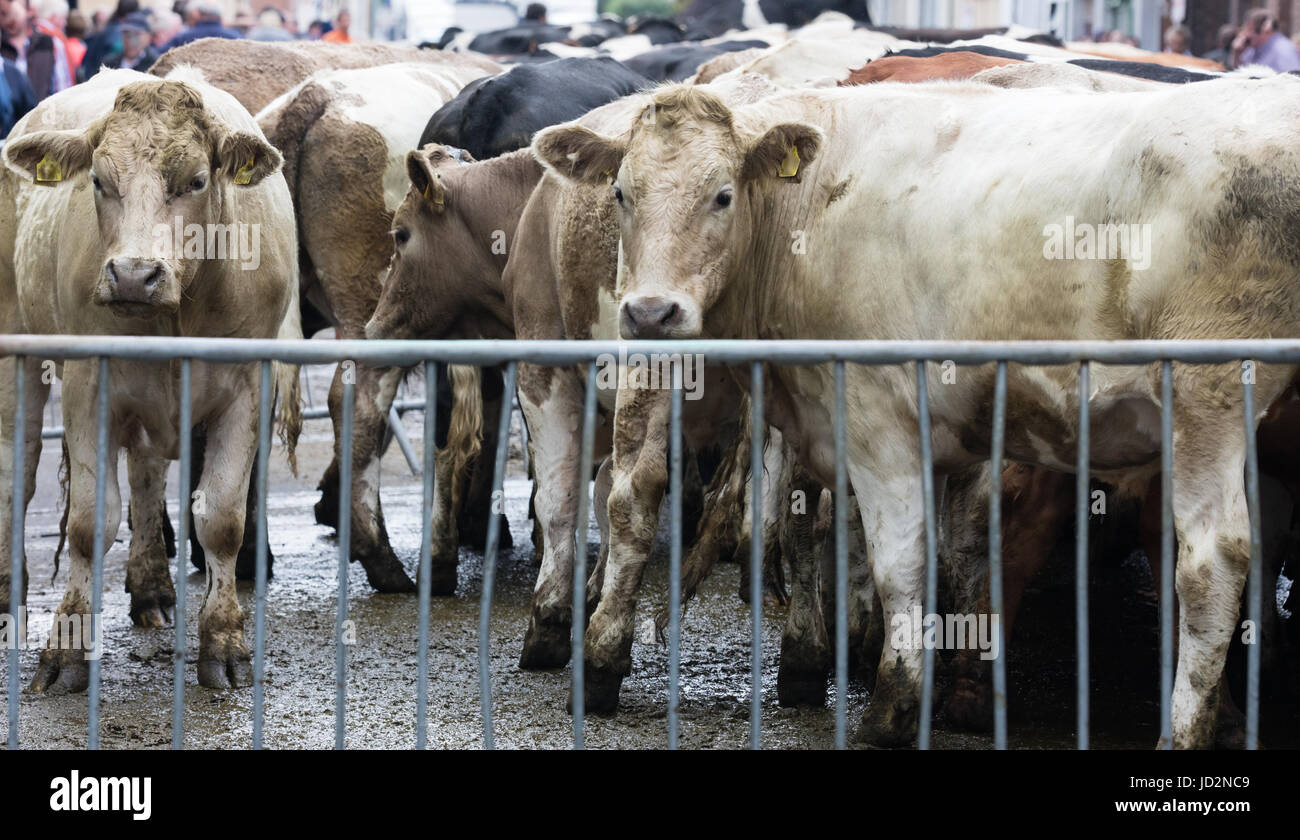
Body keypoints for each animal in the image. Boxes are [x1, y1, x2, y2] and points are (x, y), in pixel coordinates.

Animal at [0, 68, 300, 690]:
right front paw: (67, 648)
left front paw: (224, 641)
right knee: (15, 470)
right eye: (97, 179)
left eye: (197, 180)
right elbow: (90, 521)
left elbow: (222, 520)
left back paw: (152, 587)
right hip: (18, 352)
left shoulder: (245, 388)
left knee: (143, 474)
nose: (134, 276)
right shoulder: (89, 382)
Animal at [532, 76, 1300, 748]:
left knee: (1212, 563)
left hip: (1208, 399)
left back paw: (1185, 731)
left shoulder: (879, 421)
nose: (649, 312)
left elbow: (900, 562)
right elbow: (944, 559)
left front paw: (892, 709)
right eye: (621, 193)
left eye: (721, 195)